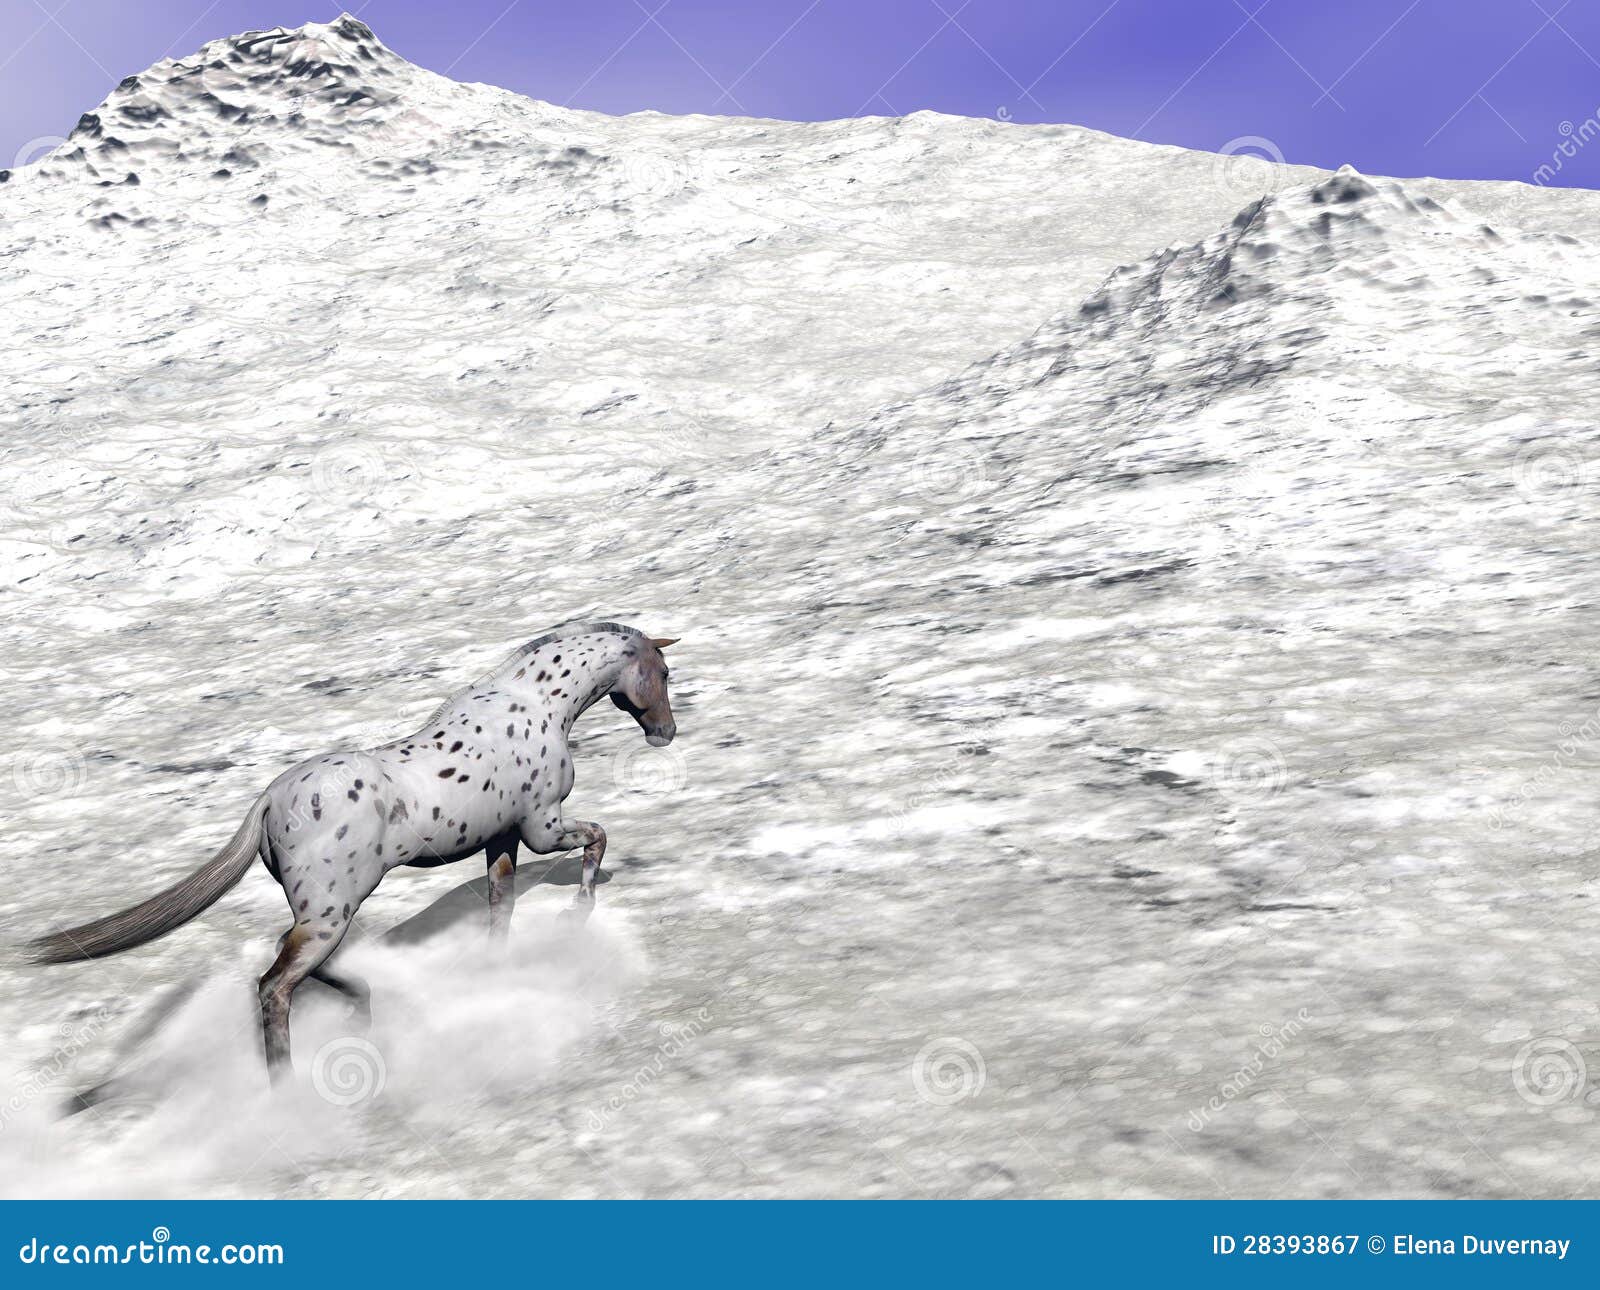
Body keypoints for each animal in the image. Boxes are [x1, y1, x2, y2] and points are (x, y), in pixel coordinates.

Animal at [27, 621, 678, 1085]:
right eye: (664, 671)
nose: (665, 733)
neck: (537, 706)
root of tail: (270, 800)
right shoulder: (543, 824)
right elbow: (596, 837)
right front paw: (580, 909)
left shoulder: (504, 837)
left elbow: (501, 903)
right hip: (330, 911)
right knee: (275, 985)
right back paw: (289, 1085)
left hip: (325, 912)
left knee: (291, 962)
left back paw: (362, 1007)